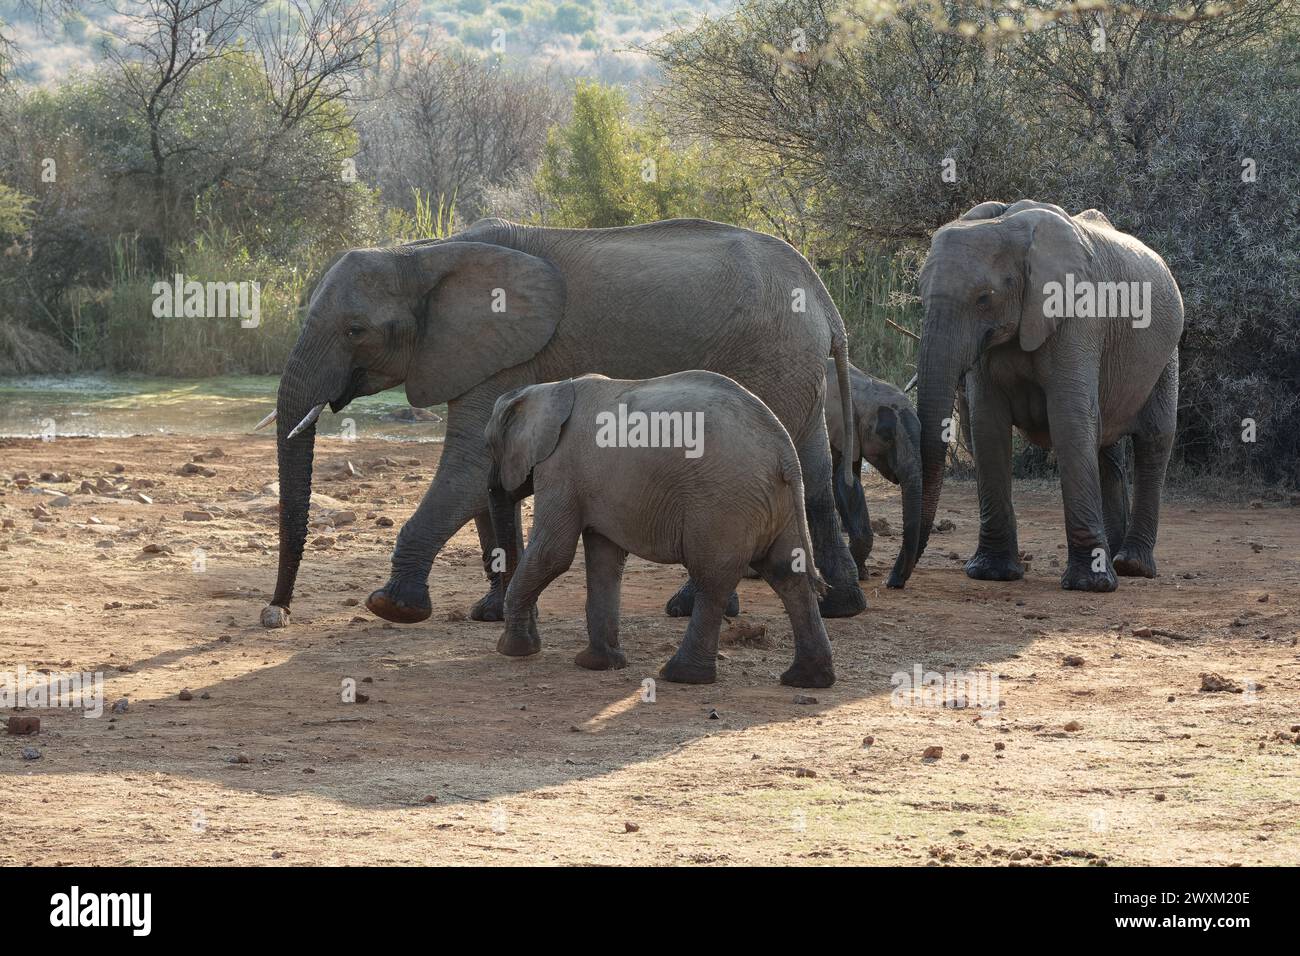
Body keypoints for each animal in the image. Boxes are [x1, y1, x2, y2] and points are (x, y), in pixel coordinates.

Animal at [257, 217, 870, 629]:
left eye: (354, 330)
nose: (276, 611)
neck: (424, 253)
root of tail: (826, 302)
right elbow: (487, 476)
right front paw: (490, 611)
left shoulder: (506, 353)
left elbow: (467, 467)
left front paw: (392, 607)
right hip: (796, 365)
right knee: (812, 472)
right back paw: (841, 607)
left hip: (771, 357)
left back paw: (694, 608)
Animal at [484, 371, 836, 688]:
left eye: (489, 445)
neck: (548, 389)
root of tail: (785, 451)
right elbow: (604, 561)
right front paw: (597, 665)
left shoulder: (560, 469)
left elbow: (553, 554)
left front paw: (512, 650)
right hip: (776, 501)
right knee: (789, 574)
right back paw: (806, 680)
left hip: (723, 502)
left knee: (713, 579)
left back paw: (682, 676)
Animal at [914, 200, 1183, 592]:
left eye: (984, 299)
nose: (898, 578)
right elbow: (987, 423)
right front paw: (991, 573)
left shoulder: (1078, 316)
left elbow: (1069, 419)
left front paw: (1089, 585)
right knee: (1106, 445)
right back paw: (1115, 555)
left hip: (1166, 355)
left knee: (1154, 439)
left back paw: (1132, 566)